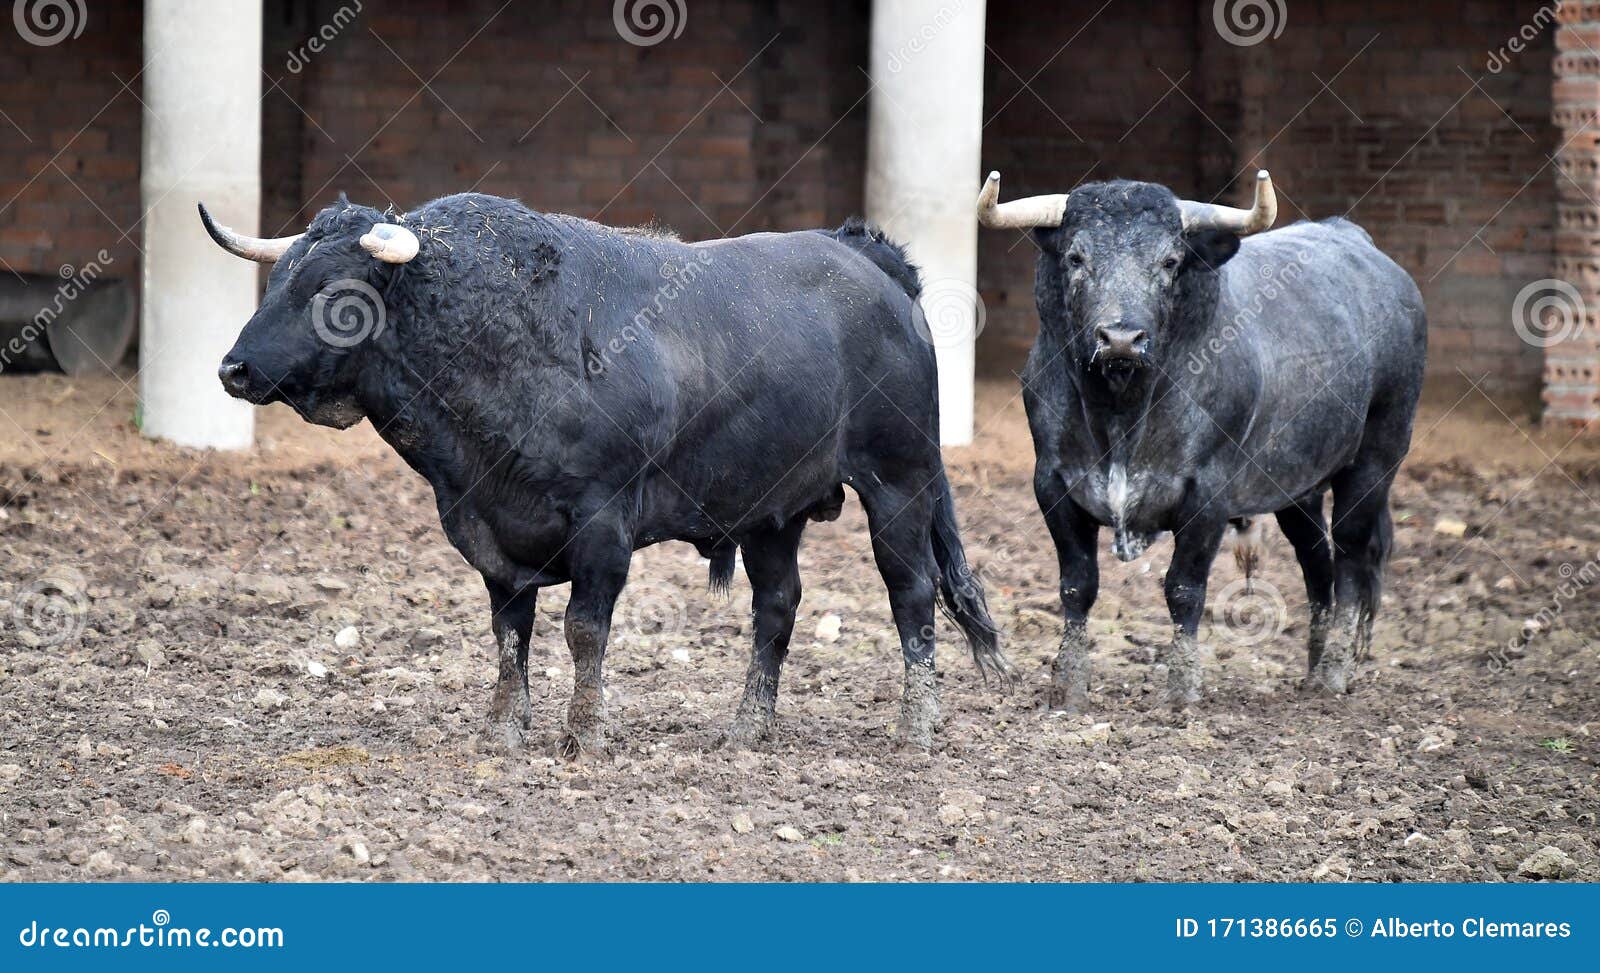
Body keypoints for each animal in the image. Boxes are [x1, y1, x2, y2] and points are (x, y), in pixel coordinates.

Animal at [199, 192, 1011, 757]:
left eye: (330, 289)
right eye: (280, 278)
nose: (233, 367)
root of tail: (868, 257)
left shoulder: (601, 523)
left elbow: (583, 629)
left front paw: (582, 733)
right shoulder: (489, 533)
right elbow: (510, 633)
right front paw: (504, 729)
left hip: (901, 482)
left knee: (913, 596)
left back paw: (916, 726)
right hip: (770, 511)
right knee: (777, 605)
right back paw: (747, 727)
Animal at [976, 170, 1426, 712]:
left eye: (1170, 261)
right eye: (1075, 257)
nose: (1121, 339)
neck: (1120, 407)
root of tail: (1361, 245)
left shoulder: (1207, 496)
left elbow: (1184, 589)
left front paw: (1183, 690)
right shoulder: (1053, 485)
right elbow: (1077, 586)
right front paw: (1068, 686)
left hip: (1376, 459)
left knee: (1353, 558)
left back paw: (1335, 671)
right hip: (1298, 486)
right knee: (1316, 558)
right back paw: (1315, 668)